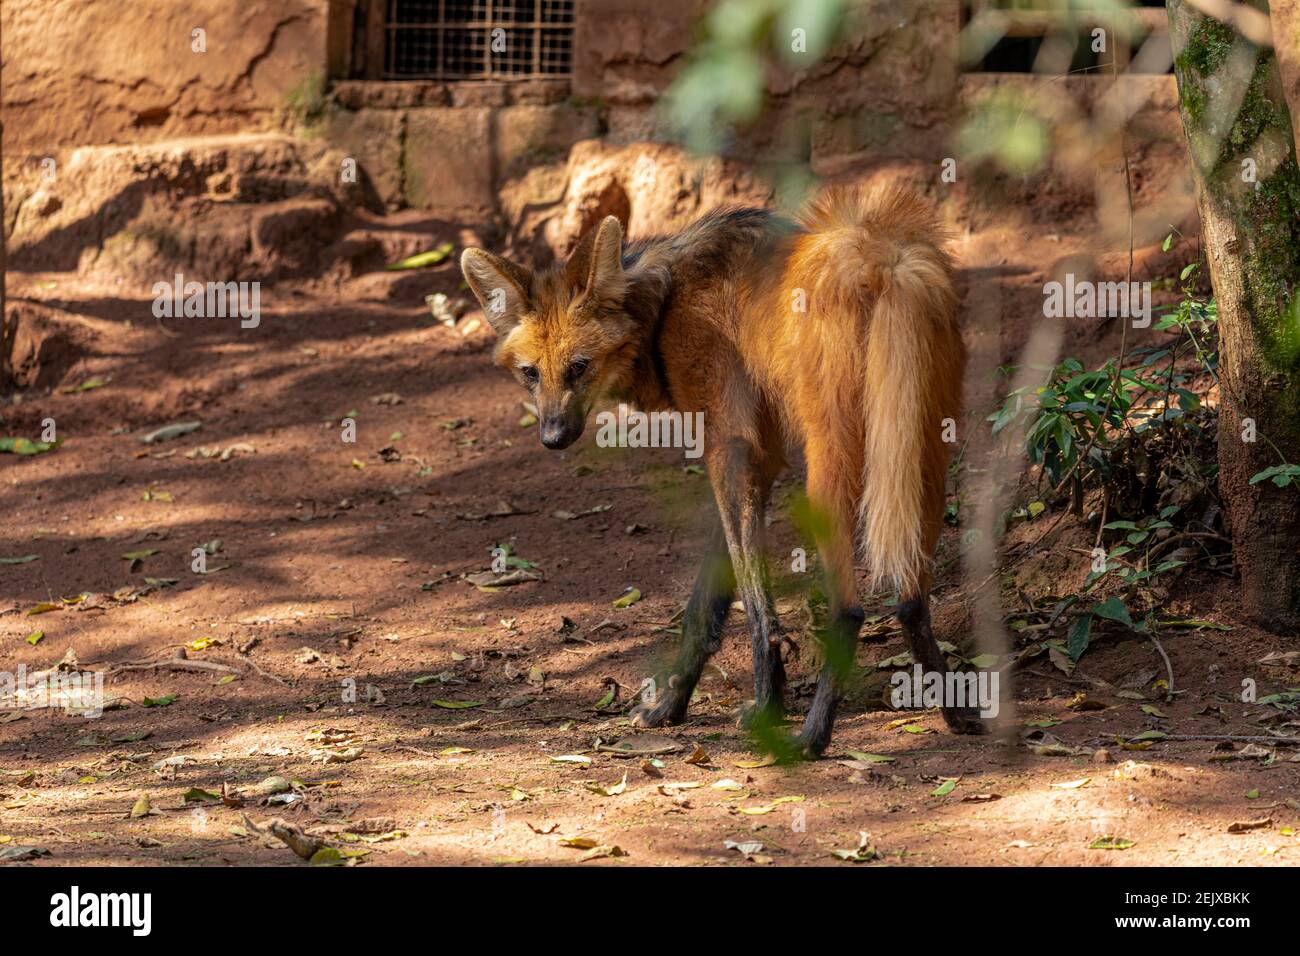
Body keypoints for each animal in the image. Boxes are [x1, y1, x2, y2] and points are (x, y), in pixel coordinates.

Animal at [460, 185, 983, 756]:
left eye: (579, 367)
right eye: (531, 373)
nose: (554, 436)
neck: (662, 310)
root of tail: (882, 259)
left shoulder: (730, 447)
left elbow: (753, 604)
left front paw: (762, 709)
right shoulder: (760, 456)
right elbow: (708, 599)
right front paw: (672, 705)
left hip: (832, 464)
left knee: (851, 610)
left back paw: (812, 736)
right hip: (922, 446)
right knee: (911, 598)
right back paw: (958, 713)